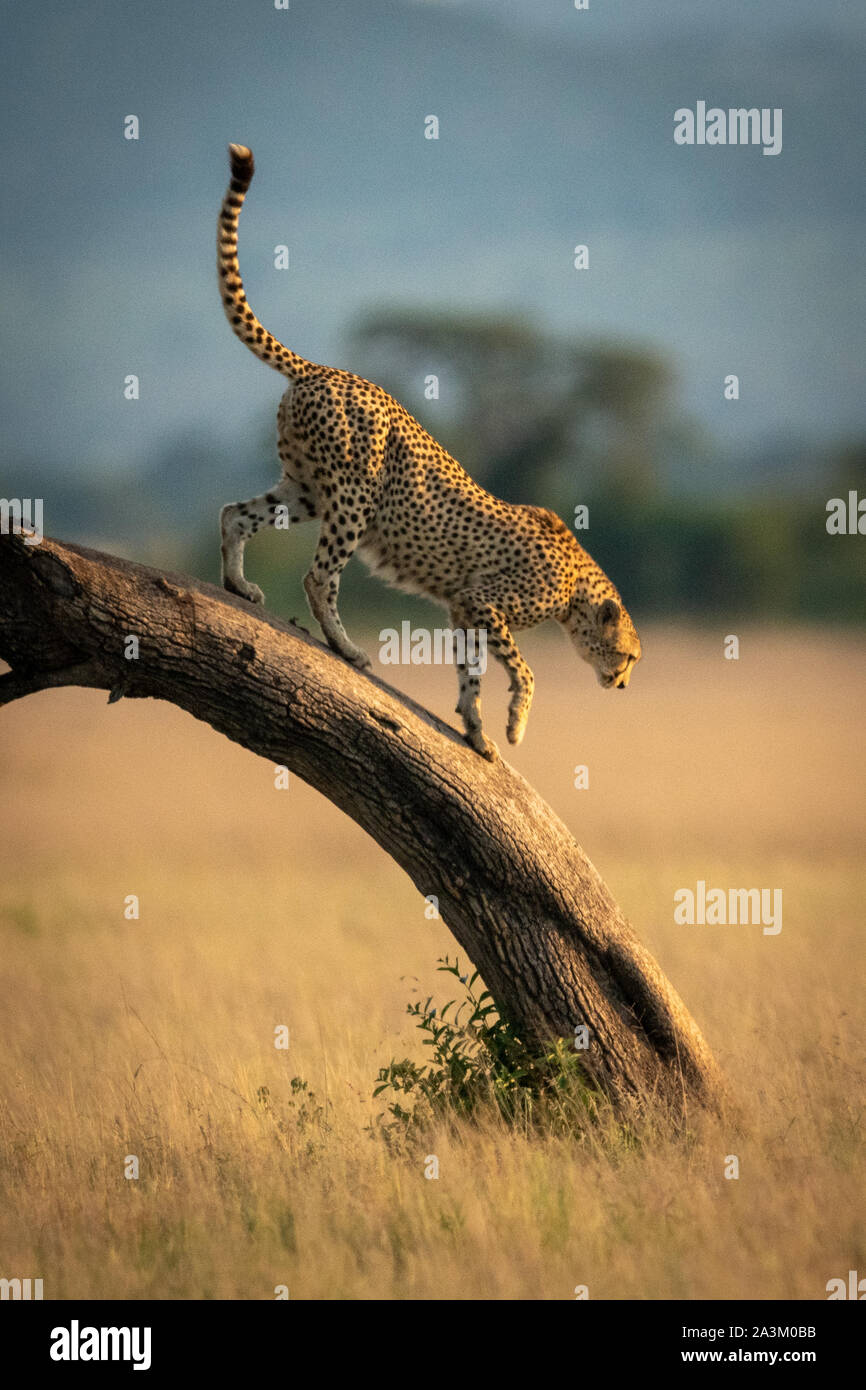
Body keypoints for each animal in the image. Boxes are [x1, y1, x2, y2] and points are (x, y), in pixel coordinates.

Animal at [218, 144, 641, 759]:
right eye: (628, 654)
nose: (624, 683)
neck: (575, 589)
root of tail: (325, 369)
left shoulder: (463, 608)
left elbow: (472, 674)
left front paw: (477, 731)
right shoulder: (485, 603)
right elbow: (525, 670)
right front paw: (513, 724)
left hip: (307, 488)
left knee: (234, 513)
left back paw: (238, 585)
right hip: (354, 497)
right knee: (319, 577)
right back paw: (345, 648)